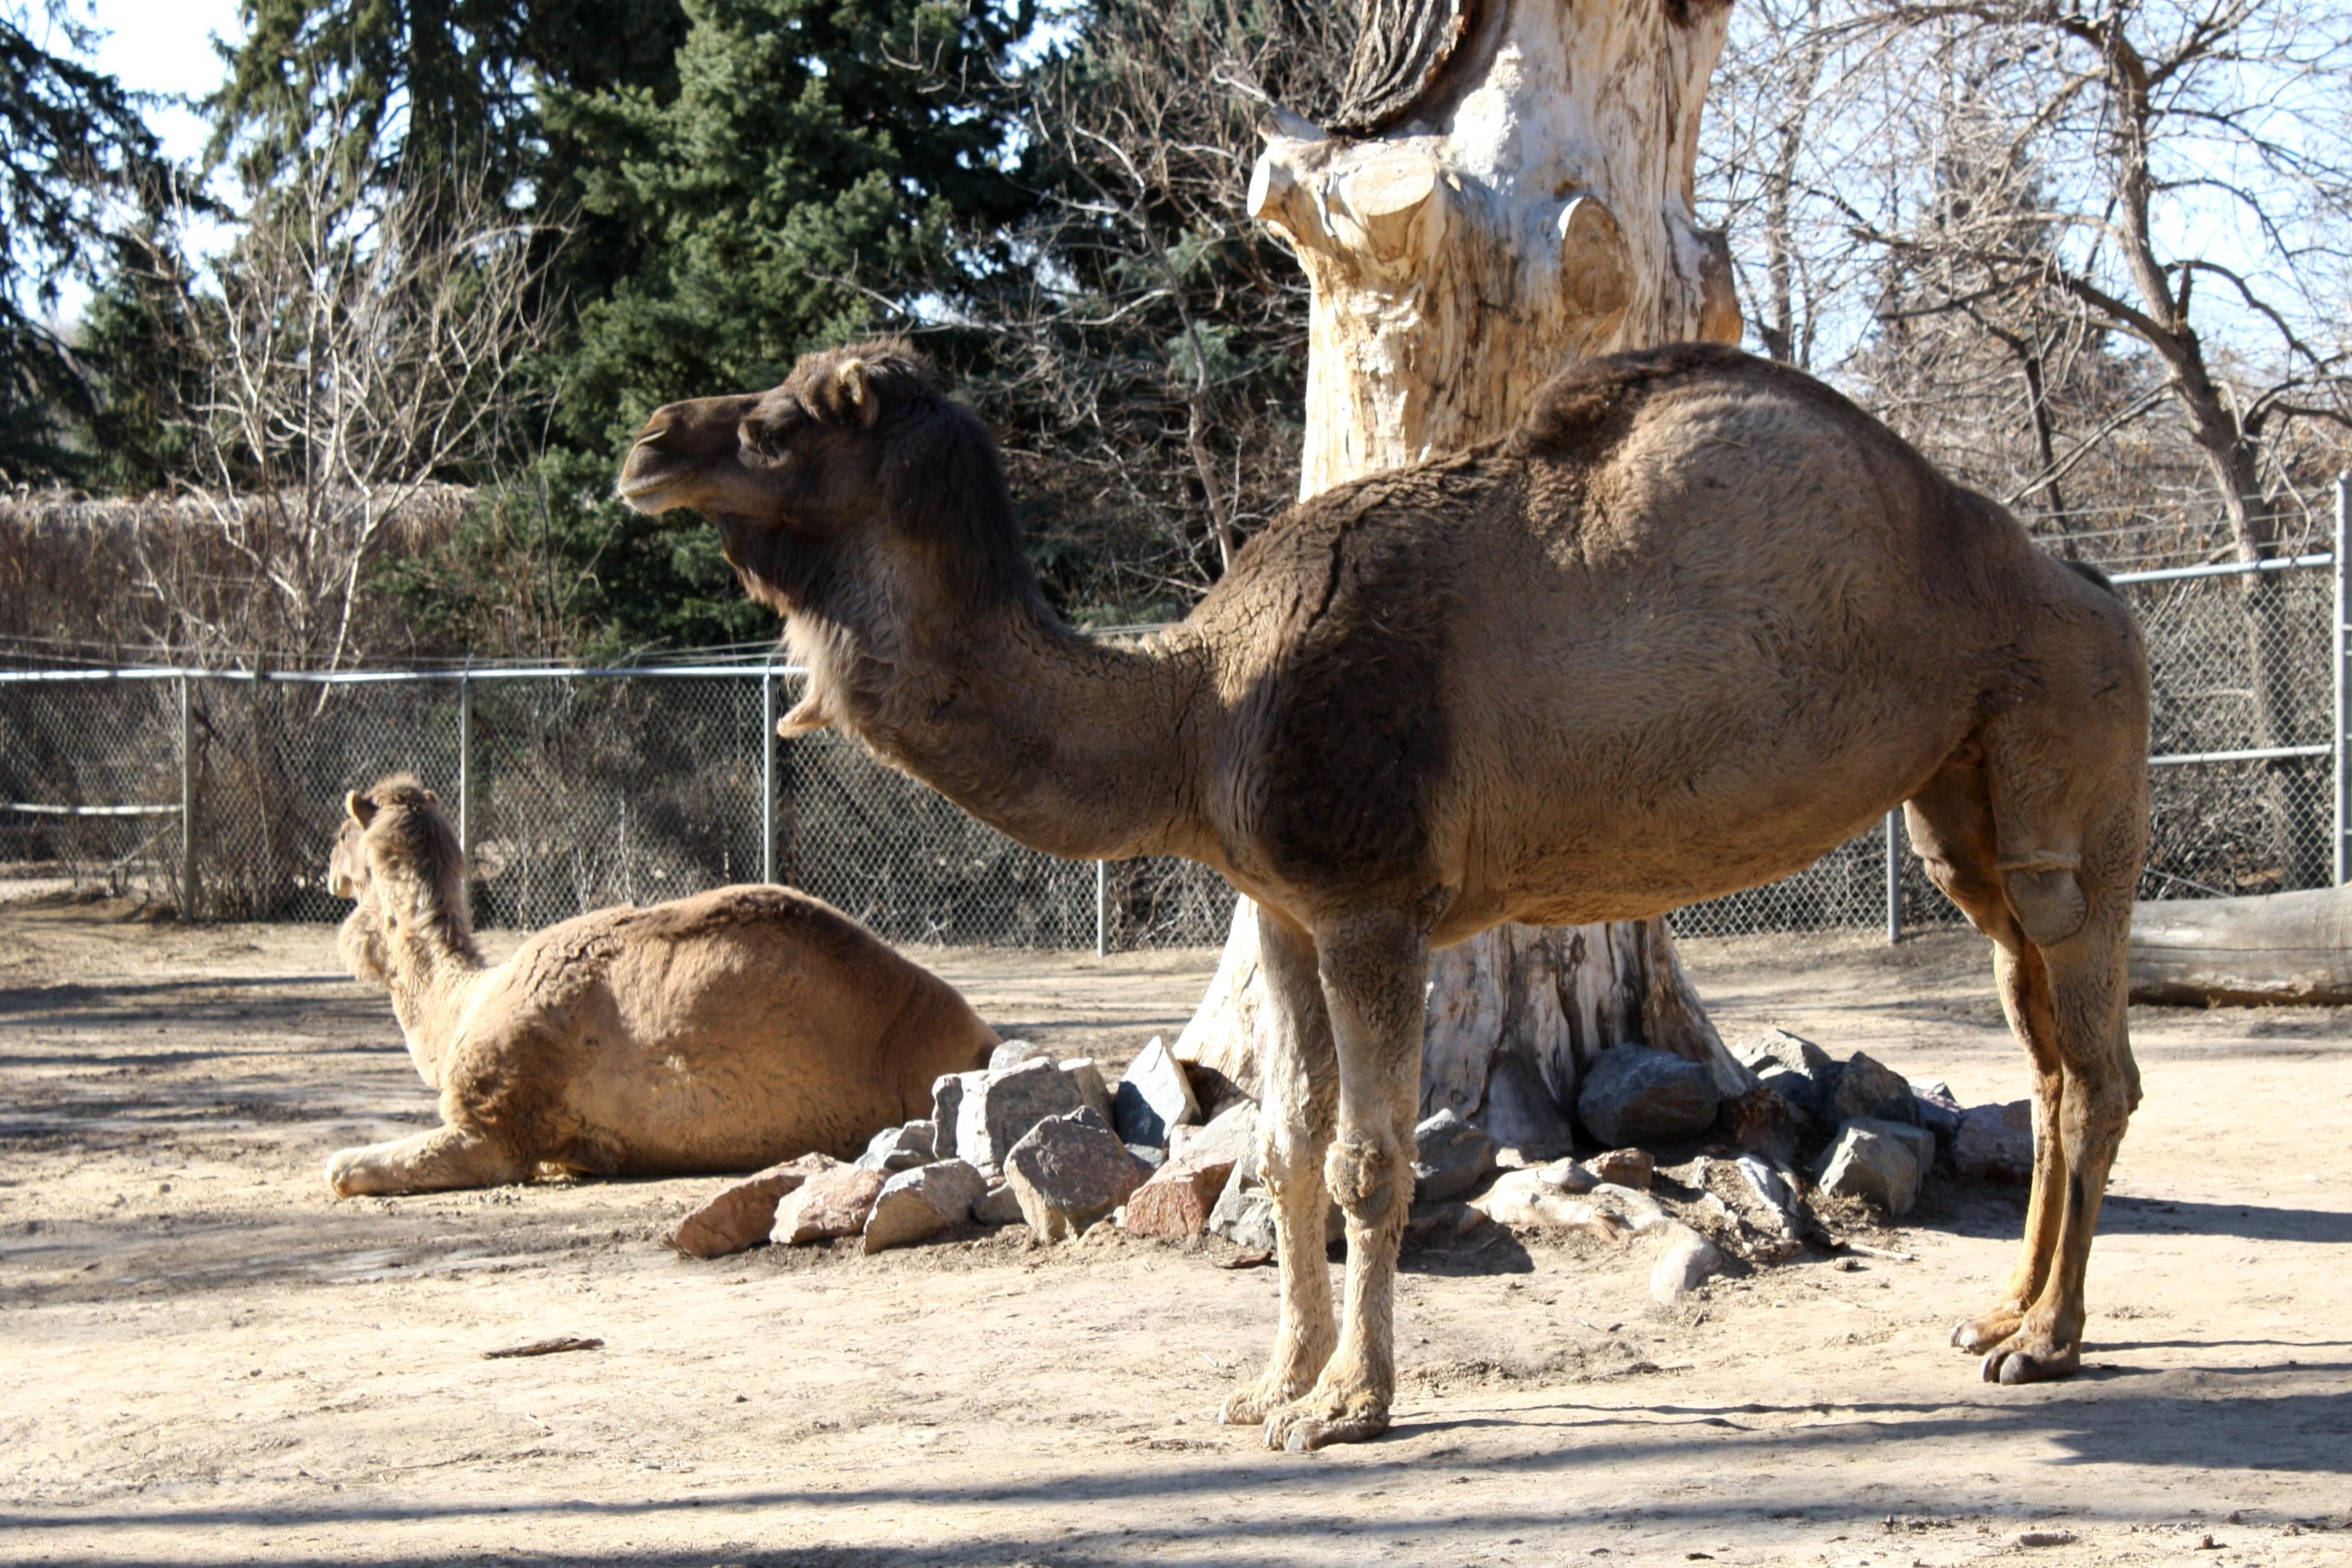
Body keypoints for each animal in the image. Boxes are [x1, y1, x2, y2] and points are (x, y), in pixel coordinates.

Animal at [322, 773, 997, 1196]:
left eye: (339, 835)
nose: (328, 875)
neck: (467, 1003)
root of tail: (983, 1040)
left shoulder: (493, 1128)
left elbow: (342, 1168)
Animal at [615, 339, 2149, 1450]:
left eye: (778, 427)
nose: (646, 442)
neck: (1193, 709)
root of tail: (2088, 584)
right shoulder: (1284, 909)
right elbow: (1285, 1148)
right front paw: (1270, 1384)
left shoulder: (1370, 903)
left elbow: (1365, 1159)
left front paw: (1349, 1405)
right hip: (1959, 793)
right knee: (2038, 1036)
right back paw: (1996, 1316)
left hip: (2063, 746)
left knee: (2090, 1056)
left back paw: (2045, 1342)